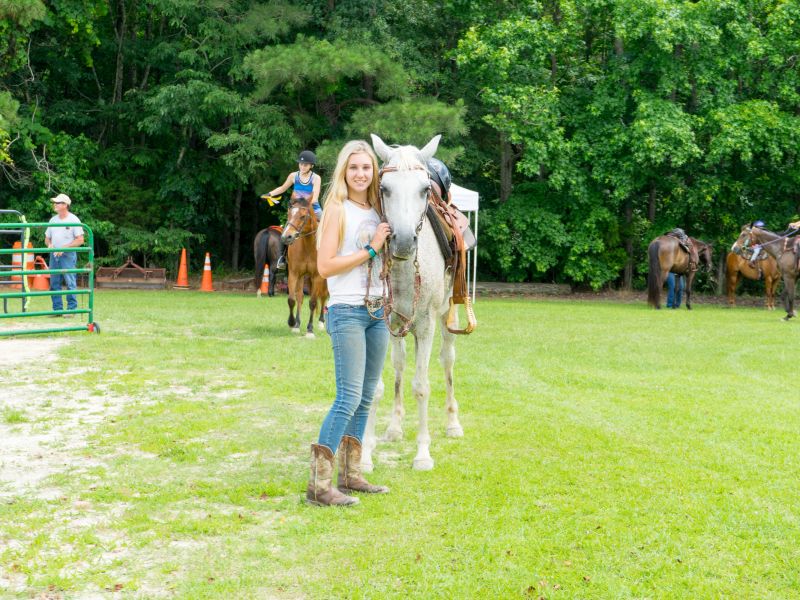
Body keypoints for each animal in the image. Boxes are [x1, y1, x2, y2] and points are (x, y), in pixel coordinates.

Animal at [281, 197, 327, 337]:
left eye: (302, 216)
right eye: (289, 215)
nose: (286, 237)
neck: (308, 245)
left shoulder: (317, 277)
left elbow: (313, 302)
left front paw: (310, 330)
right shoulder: (294, 274)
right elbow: (292, 299)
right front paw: (293, 323)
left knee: (323, 297)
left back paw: (321, 323)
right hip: (302, 278)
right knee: (300, 297)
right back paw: (297, 323)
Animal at [360, 133, 463, 472]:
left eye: (424, 189)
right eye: (384, 188)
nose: (404, 242)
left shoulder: (426, 326)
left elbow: (421, 386)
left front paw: (422, 454)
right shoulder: (383, 323)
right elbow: (378, 386)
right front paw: (365, 456)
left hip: (448, 314)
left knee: (447, 360)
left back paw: (453, 423)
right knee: (399, 365)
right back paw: (394, 428)